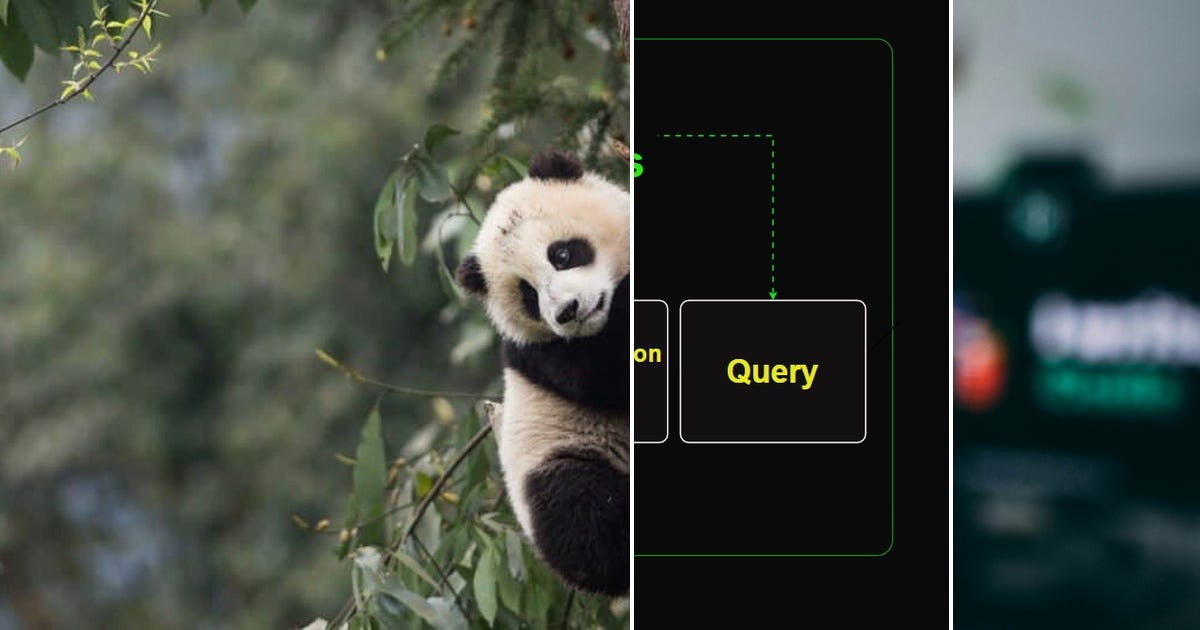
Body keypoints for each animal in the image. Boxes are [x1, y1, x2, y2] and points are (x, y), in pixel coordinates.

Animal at [455, 147, 629, 597]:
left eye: (562, 254)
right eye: (528, 295)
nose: (567, 311)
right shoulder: (543, 354)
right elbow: (604, 374)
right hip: (561, 457)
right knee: (583, 516)